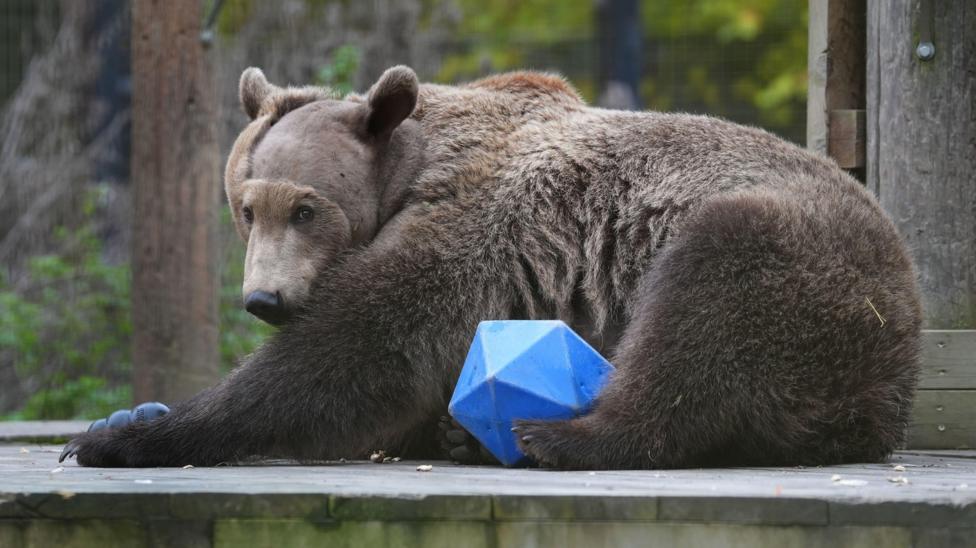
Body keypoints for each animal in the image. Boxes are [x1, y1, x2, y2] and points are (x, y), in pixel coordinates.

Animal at [61, 66, 922, 469]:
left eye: (305, 208)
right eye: (246, 205)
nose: (264, 299)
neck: (408, 167)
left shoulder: (476, 229)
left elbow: (355, 356)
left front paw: (127, 437)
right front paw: (124, 415)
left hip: (803, 265)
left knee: (702, 318)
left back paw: (555, 436)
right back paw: (471, 437)